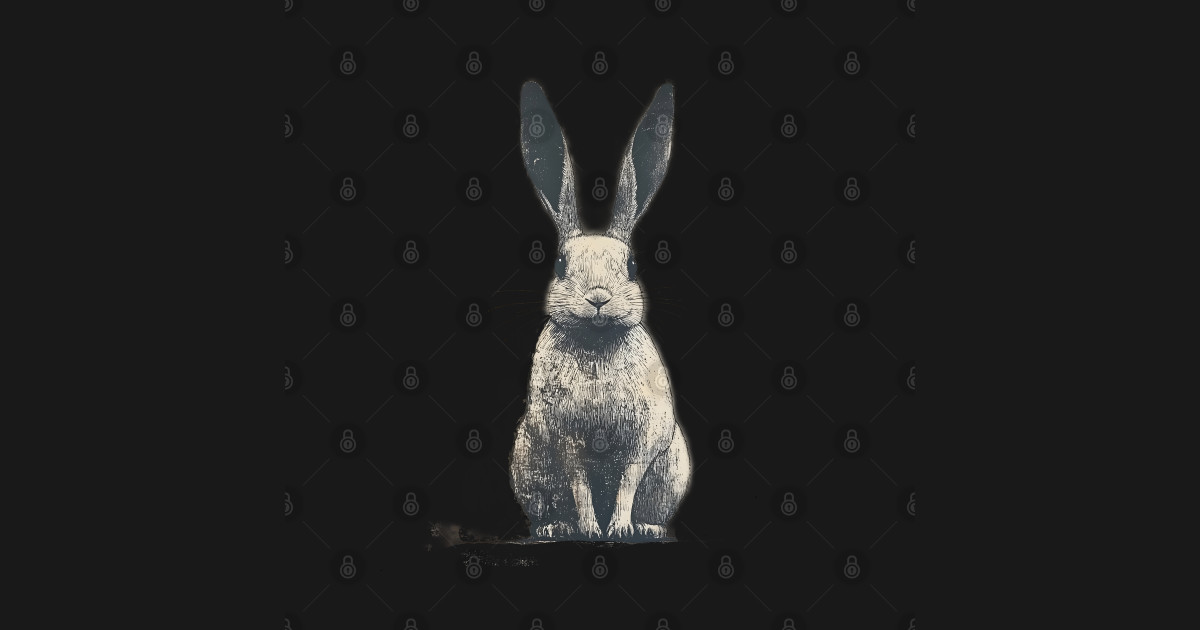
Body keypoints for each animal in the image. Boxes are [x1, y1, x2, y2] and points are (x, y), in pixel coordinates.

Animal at [508, 80, 692, 541]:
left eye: (631, 266)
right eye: (559, 264)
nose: (597, 298)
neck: (596, 340)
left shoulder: (644, 437)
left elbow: (627, 479)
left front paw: (621, 529)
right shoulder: (564, 442)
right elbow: (580, 484)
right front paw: (591, 529)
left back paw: (648, 528)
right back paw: (555, 527)